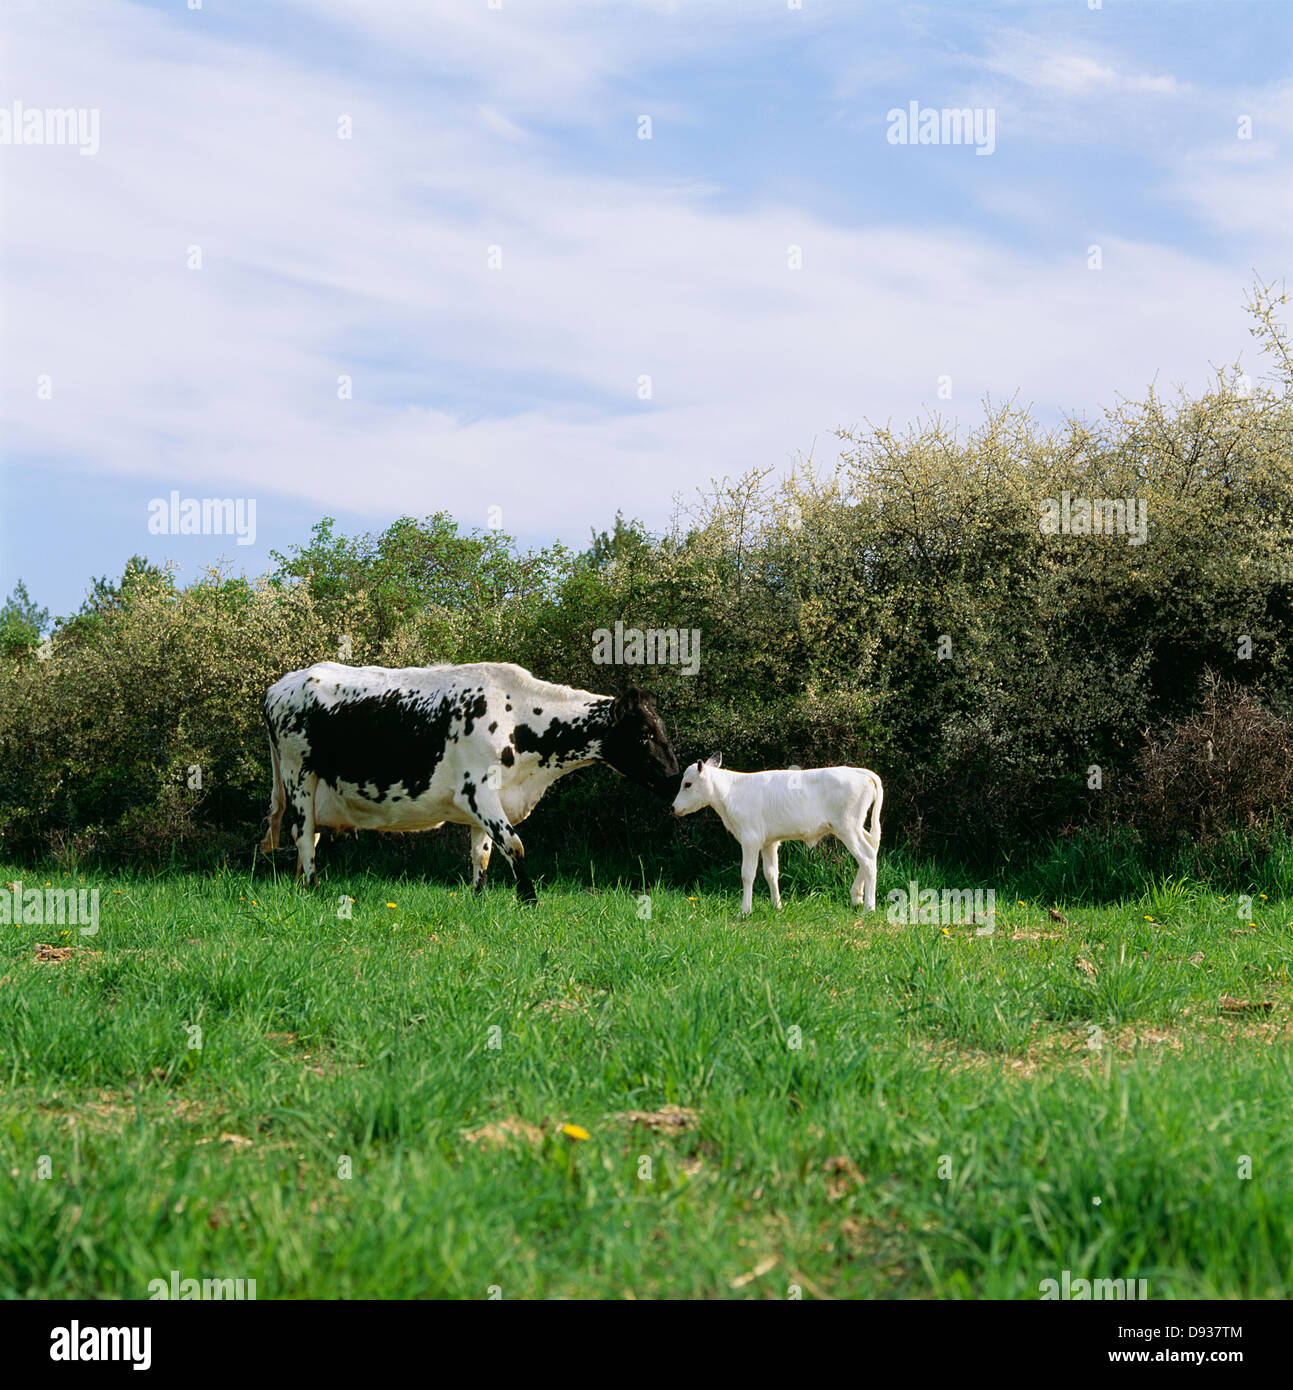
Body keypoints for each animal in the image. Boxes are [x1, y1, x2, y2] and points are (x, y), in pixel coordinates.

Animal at [261, 661, 679, 902]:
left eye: (660, 729)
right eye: (645, 734)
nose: (676, 779)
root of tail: (281, 685)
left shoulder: (491, 801)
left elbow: (483, 853)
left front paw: (478, 901)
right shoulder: (477, 793)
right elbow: (514, 845)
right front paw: (528, 902)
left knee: (308, 835)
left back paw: (301, 886)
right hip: (300, 776)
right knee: (303, 834)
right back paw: (314, 889)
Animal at [670, 754, 883, 916]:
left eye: (687, 784)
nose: (673, 807)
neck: (731, 791)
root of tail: (860, 771)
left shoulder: (750, 838)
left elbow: (747, 873)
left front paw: (744, 911)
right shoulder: (769, 842)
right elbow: (771, 873)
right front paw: (777, 906)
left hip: (847, 826)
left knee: (867, 857)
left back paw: (868, 908)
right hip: (855, 827)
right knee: (872, 849)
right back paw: (856, 897)